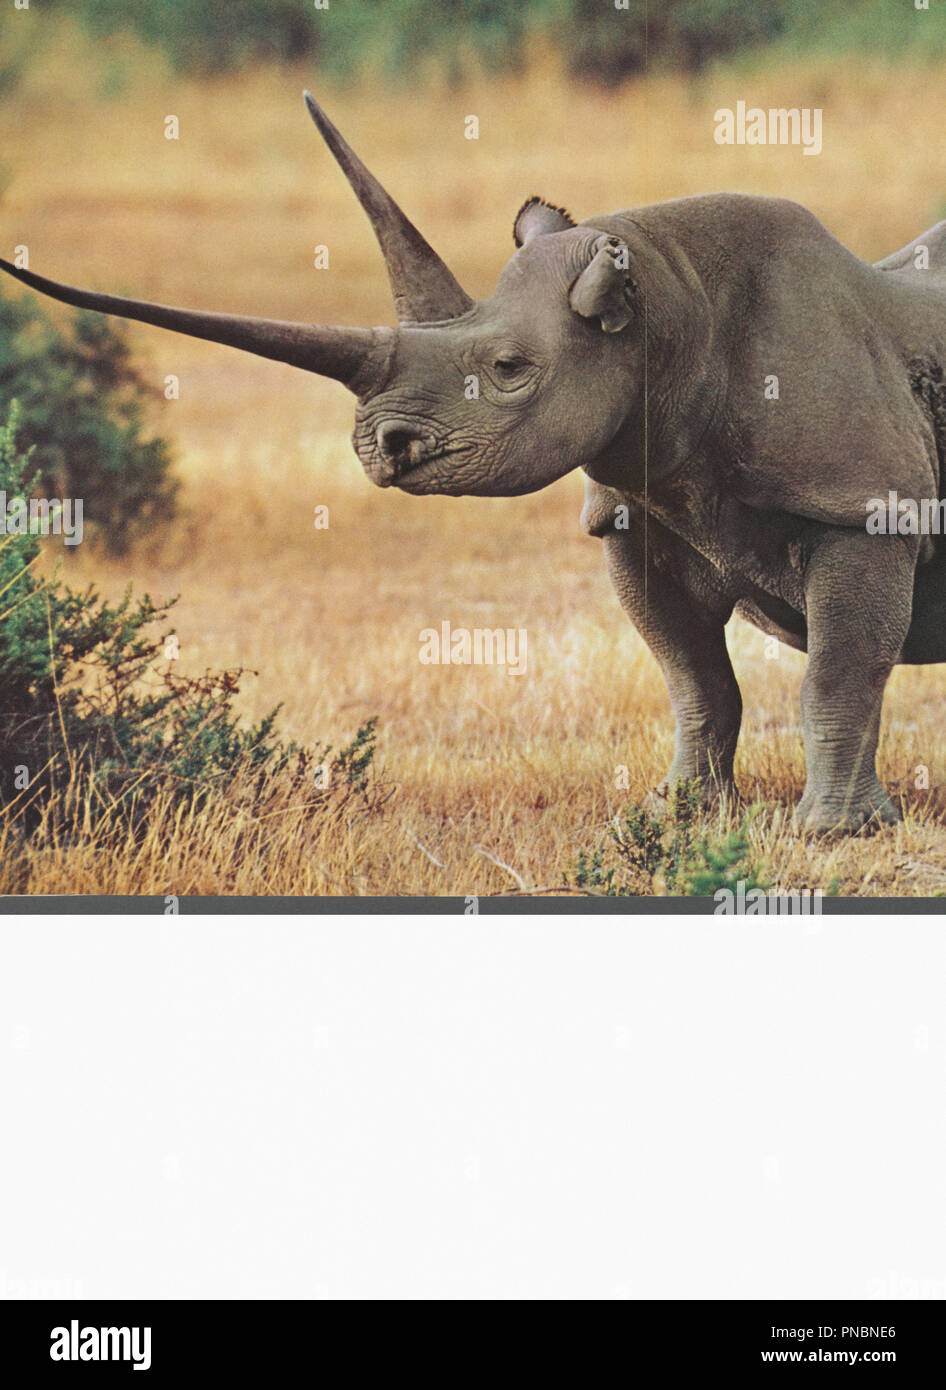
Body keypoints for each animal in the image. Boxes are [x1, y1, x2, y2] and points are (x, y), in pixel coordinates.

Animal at [3, 93, 946, 833]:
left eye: (508, 369)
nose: (378, 445)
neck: (667, 316)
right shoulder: (633, 507)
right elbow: (696, 679)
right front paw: (673, 816)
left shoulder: (863, 506)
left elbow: (837, 674)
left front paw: (831, 833)